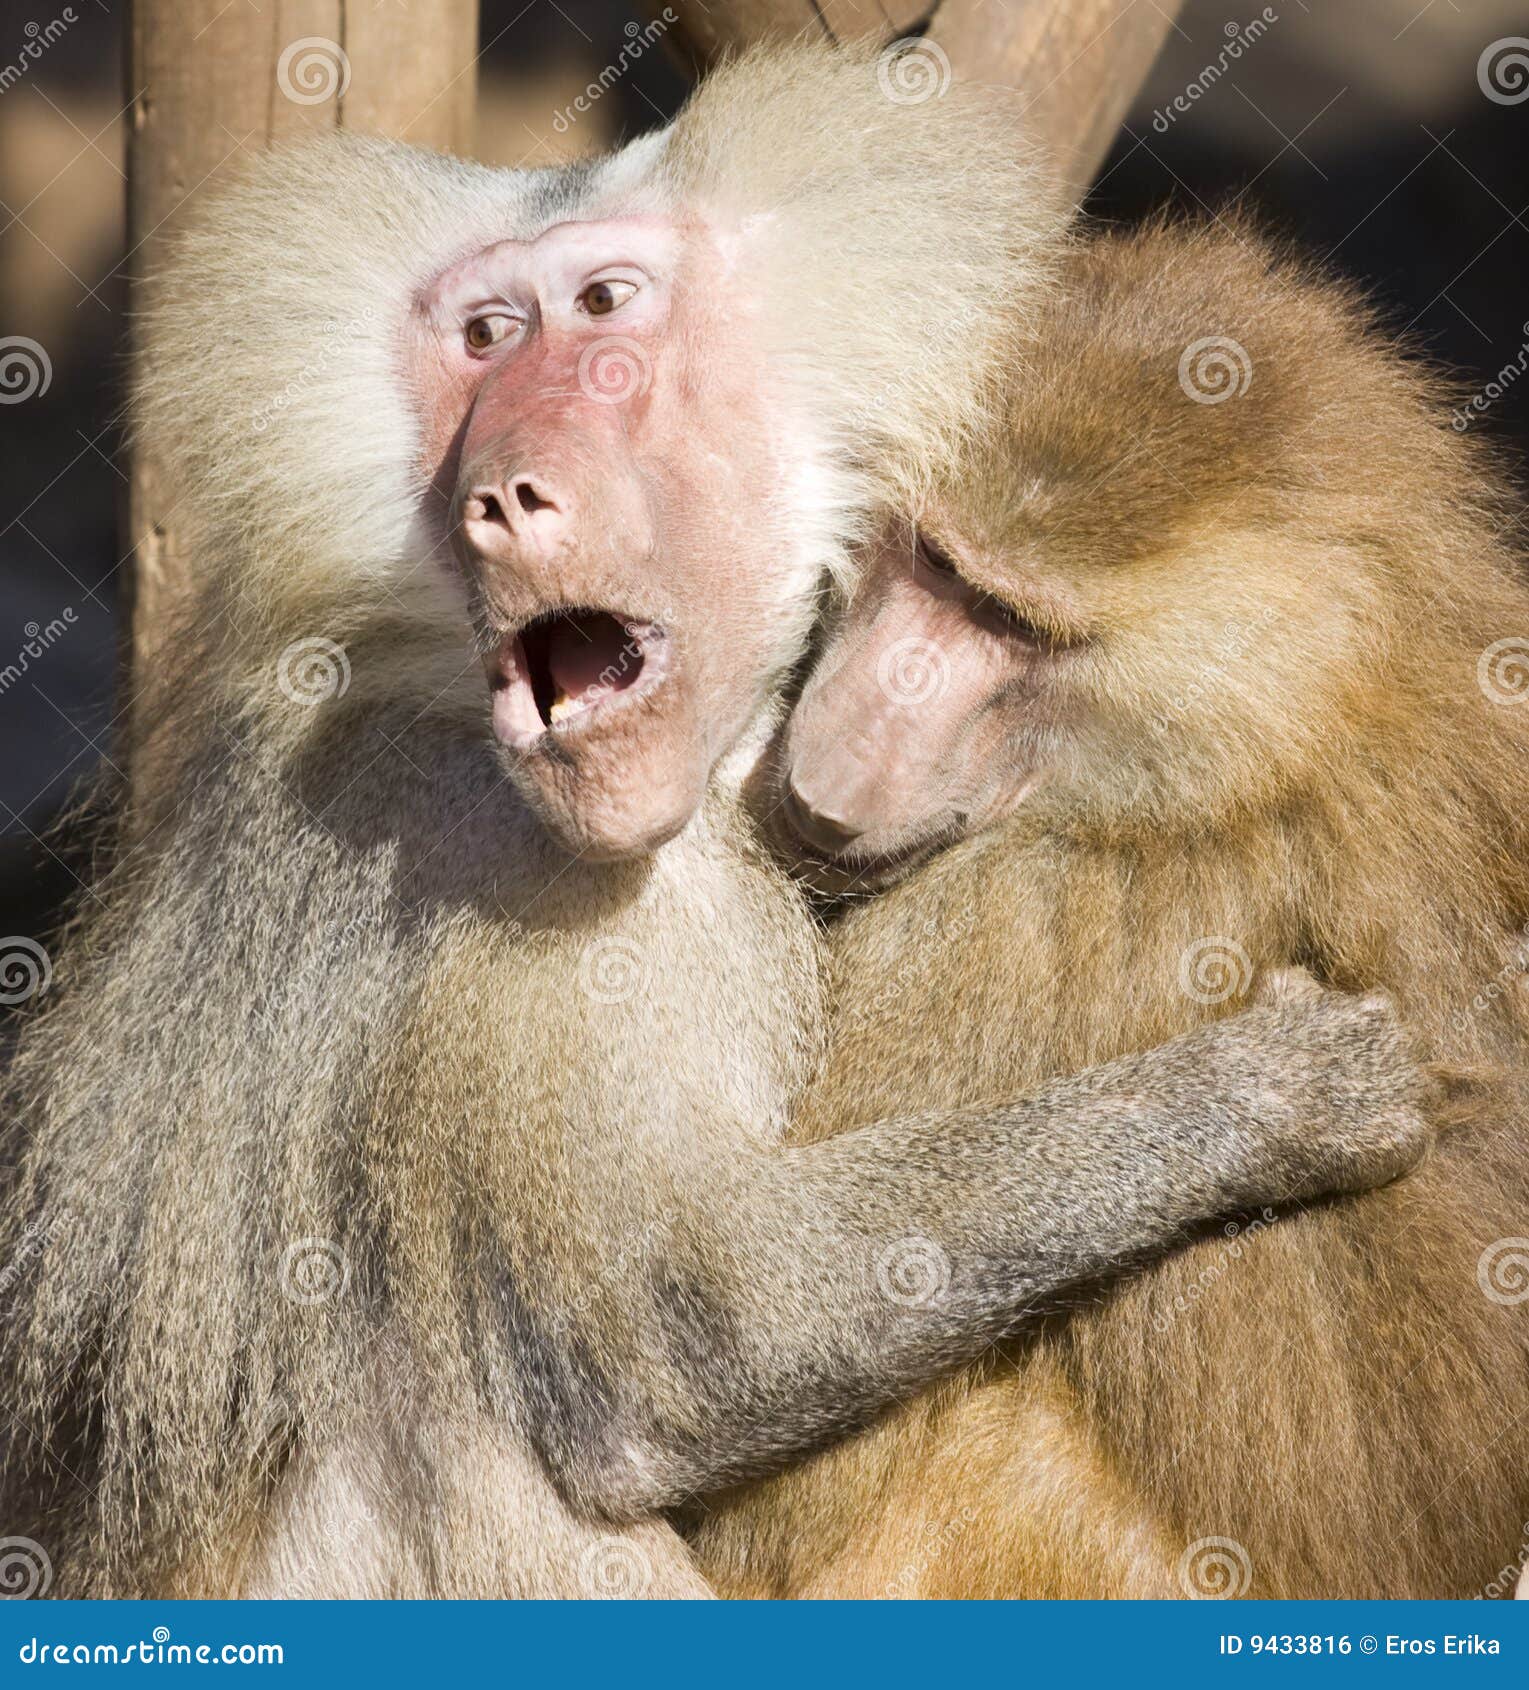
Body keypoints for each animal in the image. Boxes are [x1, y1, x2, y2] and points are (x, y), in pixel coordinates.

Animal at [0, 59, 1438, 1600]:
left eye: (603, 307)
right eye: (486, 336)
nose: (504, 494)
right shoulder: (532, 894)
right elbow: (675, 1351)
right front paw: (1276, 1095)